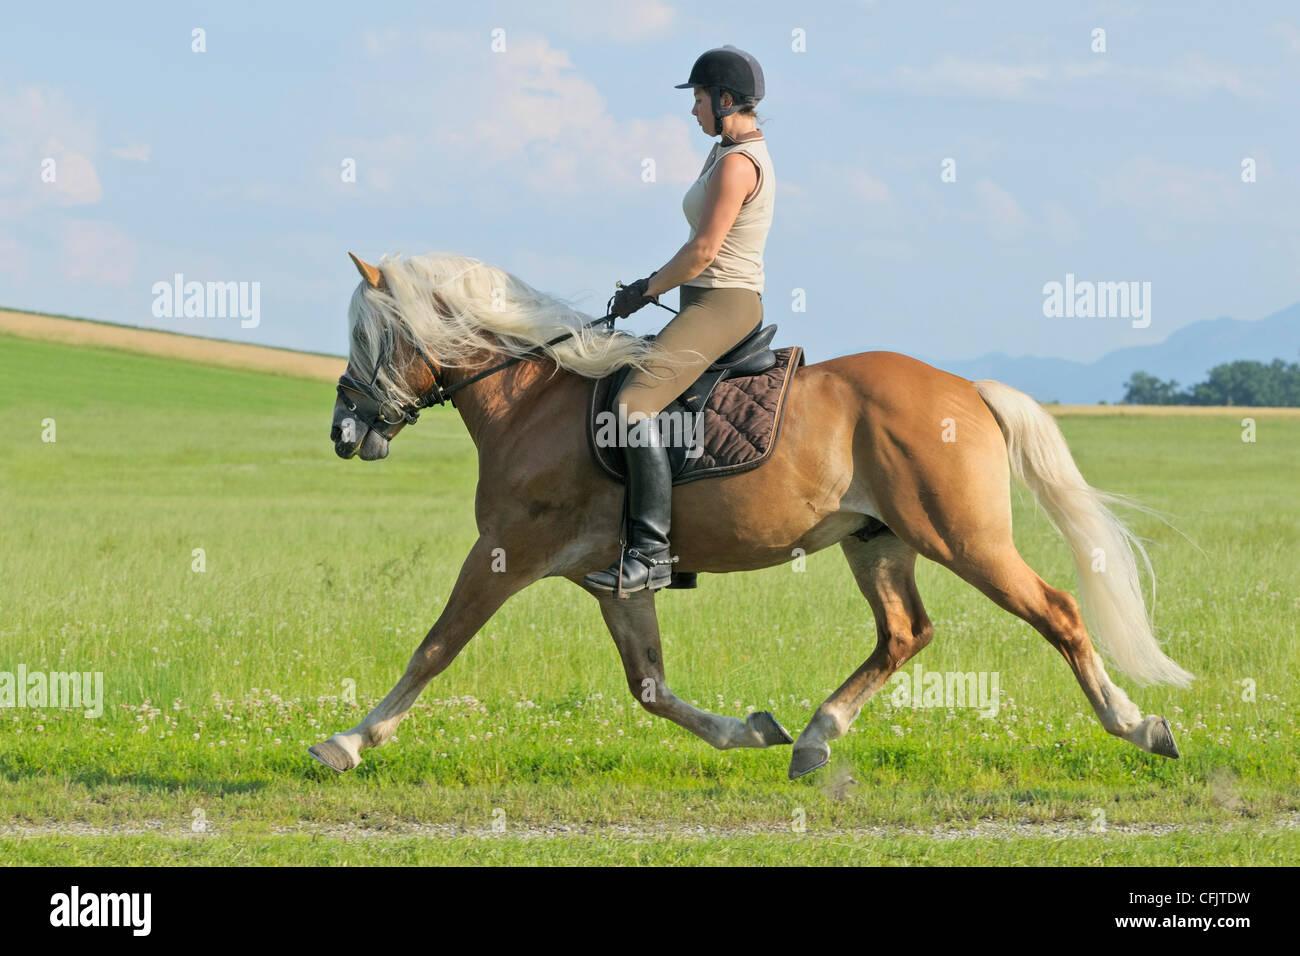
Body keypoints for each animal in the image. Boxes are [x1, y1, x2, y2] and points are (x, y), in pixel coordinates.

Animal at [309, 251, 1192, 781]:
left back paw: (1137, 724)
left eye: (367, 336)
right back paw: (814, 736)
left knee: (1058, 611)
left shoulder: (503, 553)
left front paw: (348, 741)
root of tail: (965, 388)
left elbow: (433, 649)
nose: (344, 433)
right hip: (877, 542)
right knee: (904, 633)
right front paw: (752, 731)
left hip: (962, 538)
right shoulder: (612, 580)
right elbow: (650, 686)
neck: (529, 398)